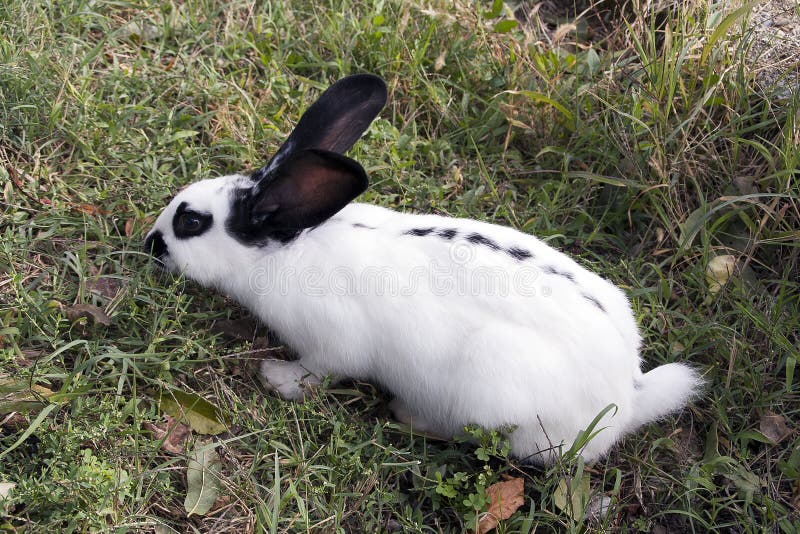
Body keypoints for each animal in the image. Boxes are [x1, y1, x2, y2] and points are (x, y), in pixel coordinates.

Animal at [144, 74, 701, 463]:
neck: (287, 248)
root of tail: (626, 397)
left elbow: (319, 370)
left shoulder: (332, 343)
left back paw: (406, 414)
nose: (151, 245)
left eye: (191, 222)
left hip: (487, 392)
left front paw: (275, 378)